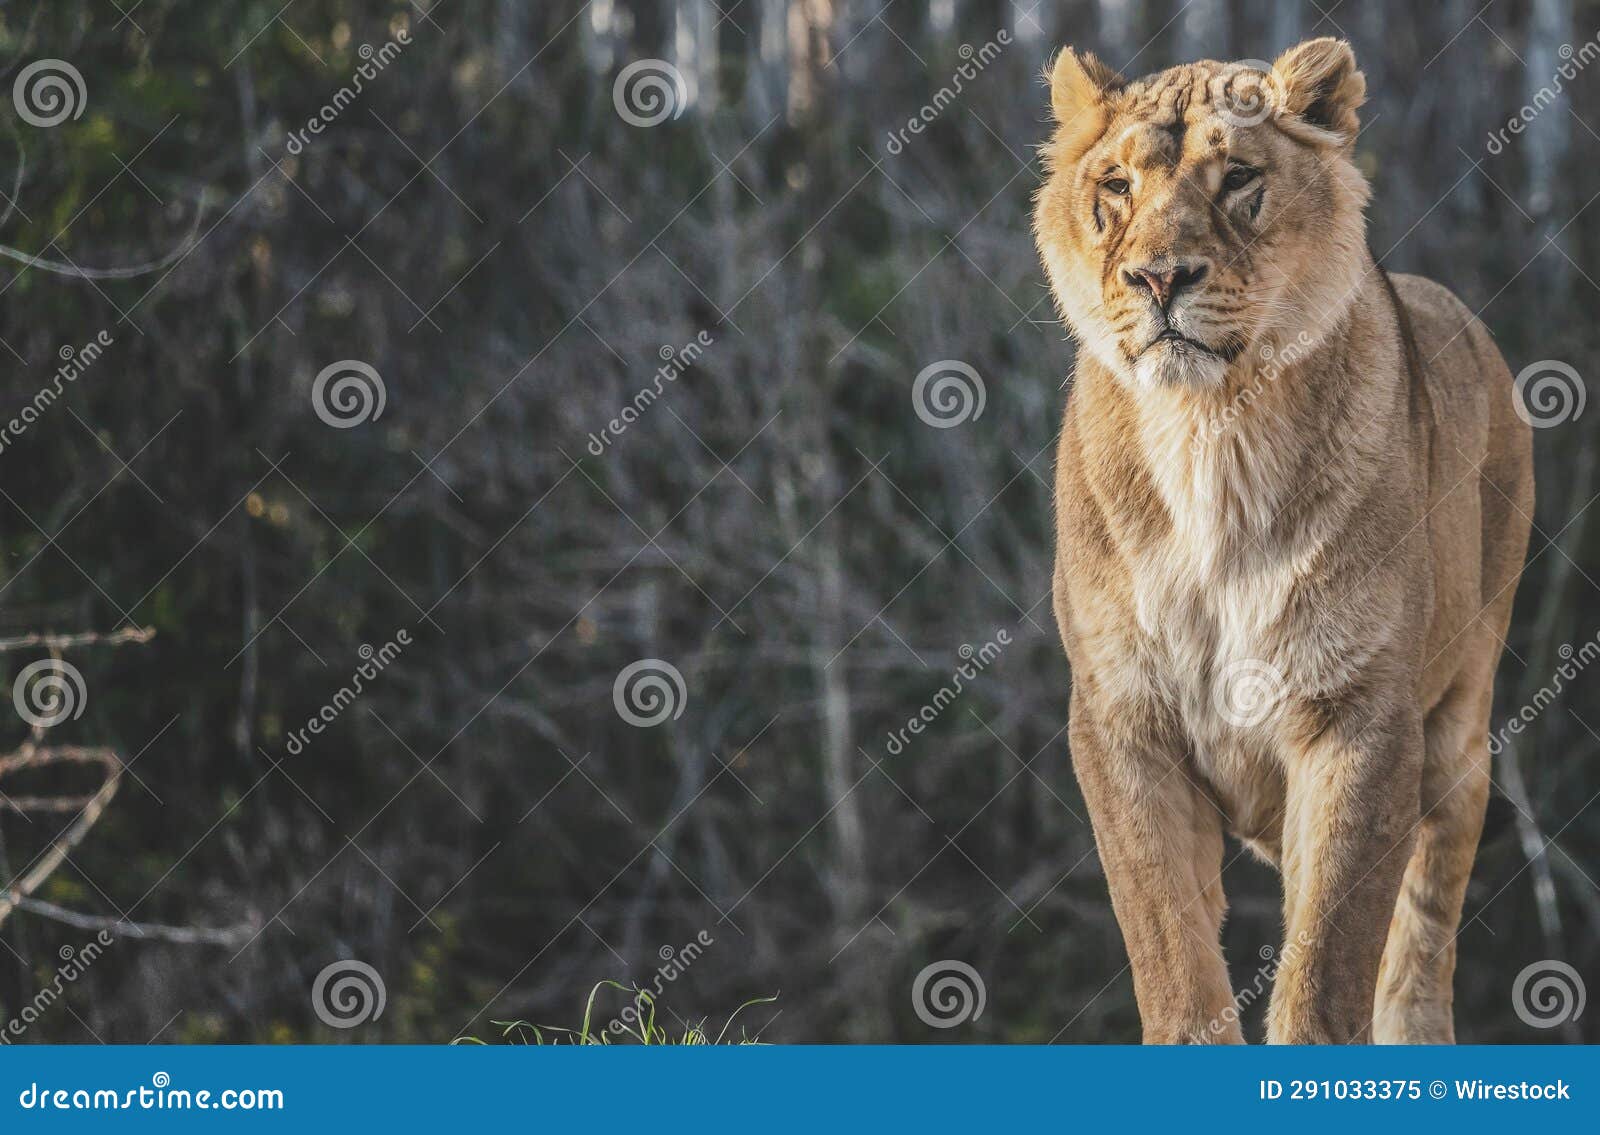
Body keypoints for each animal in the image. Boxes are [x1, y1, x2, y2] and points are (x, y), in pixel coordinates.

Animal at [1033, 38, 1533, 1043]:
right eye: (1115, 186)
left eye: (1238, 180)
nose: (1159, 278)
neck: (1210, 433)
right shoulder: (1121, 721)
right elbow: (1171, 950)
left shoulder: (1357, 717)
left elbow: (1327, 965)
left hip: (1462, 727)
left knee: (1421, 935)